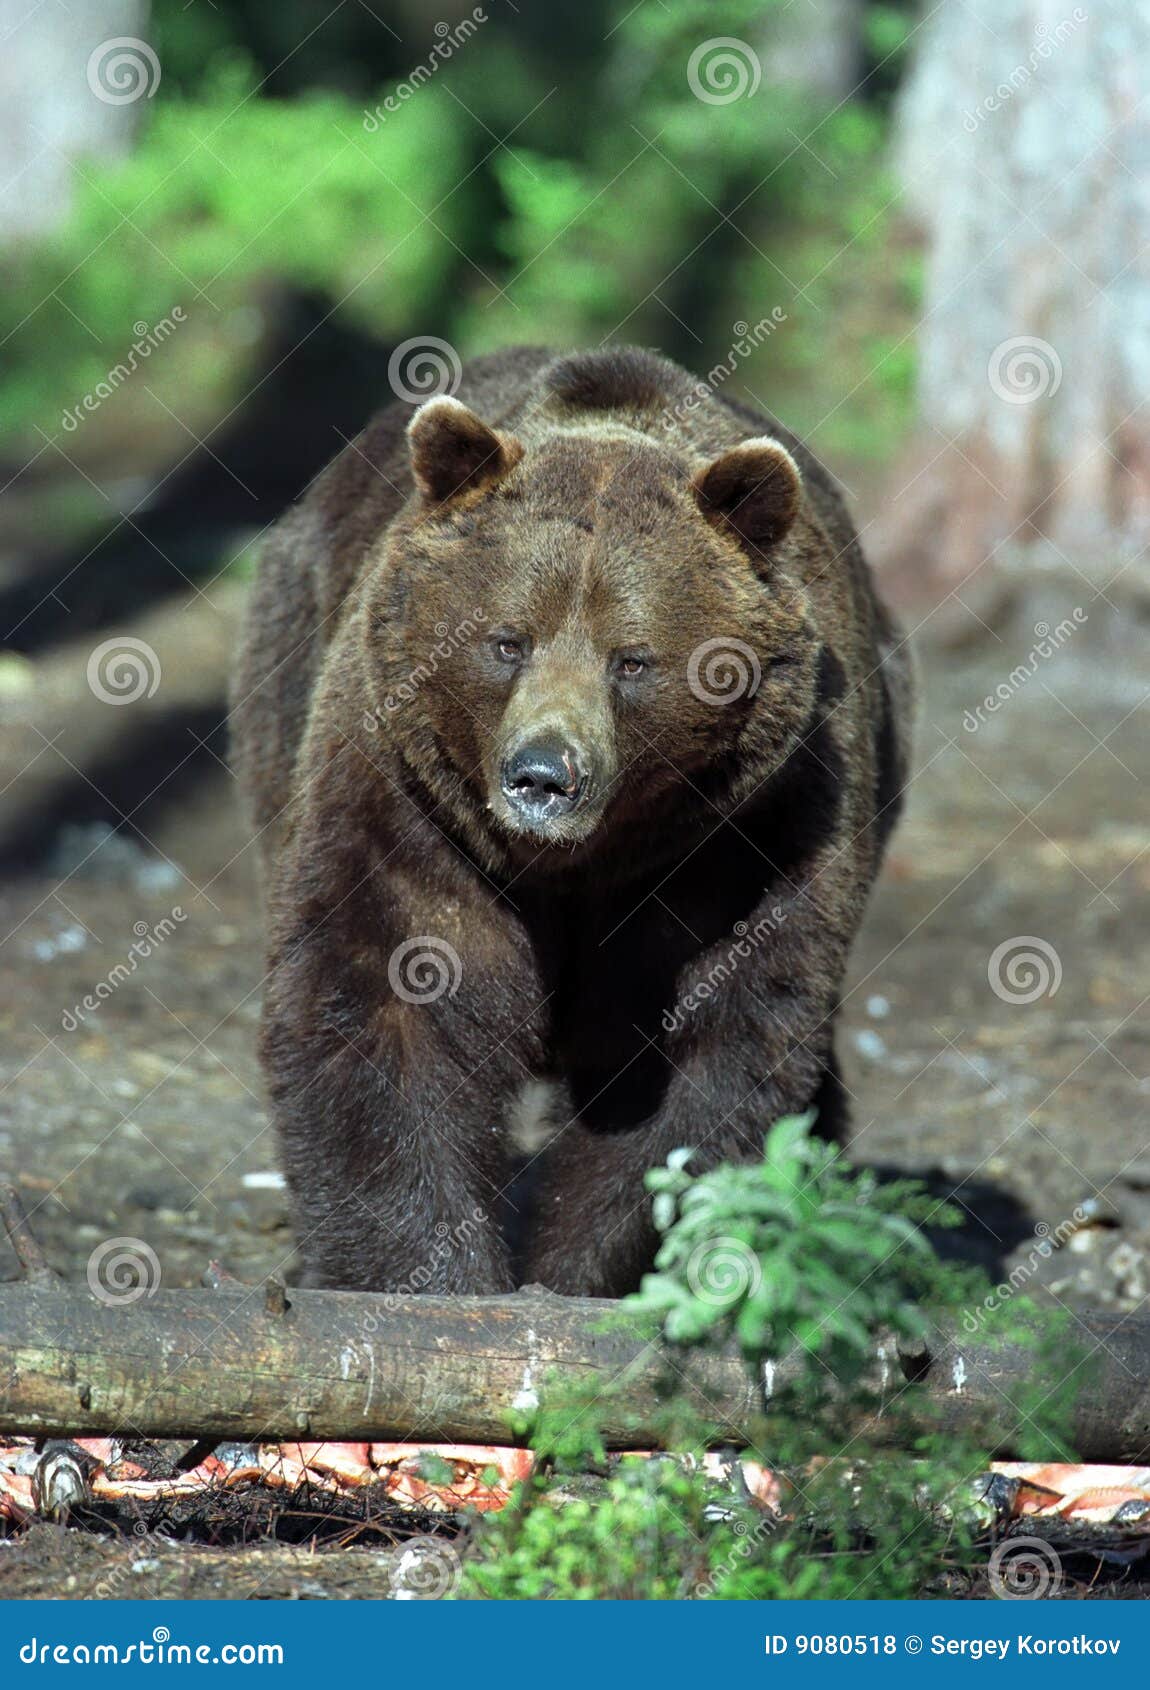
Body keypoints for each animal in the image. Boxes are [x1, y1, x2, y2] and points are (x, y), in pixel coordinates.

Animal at [230, 344, 913, 1298]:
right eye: (507, 640)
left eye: (633, 661)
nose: (543, 776)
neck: (574, 864)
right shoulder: (408, 797)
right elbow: (384, 993)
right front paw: (422, 1274)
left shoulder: (747, 829)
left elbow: (701, 1052)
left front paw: (577, 1274)